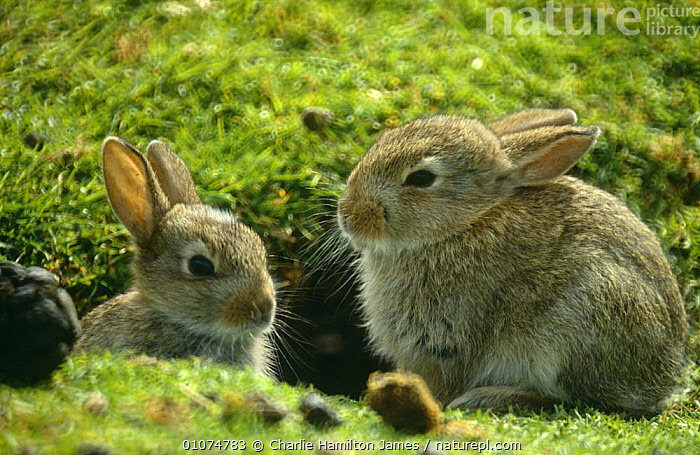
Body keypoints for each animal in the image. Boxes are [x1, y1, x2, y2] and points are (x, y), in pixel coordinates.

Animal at [337, 109, 688, 416]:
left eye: (422, 178)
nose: (348, 214)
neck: (465, 223)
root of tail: (662, 380)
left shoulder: (445, 342)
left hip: (584, 318)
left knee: (570, 399)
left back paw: (485, 399)